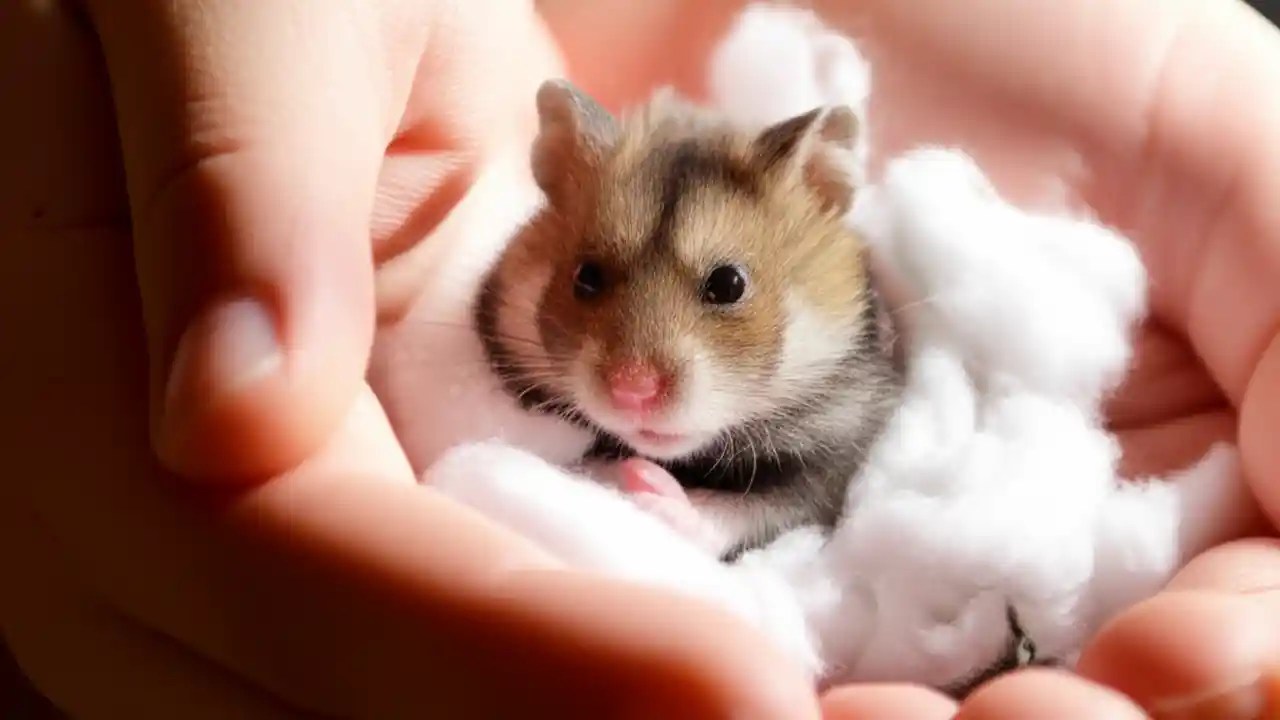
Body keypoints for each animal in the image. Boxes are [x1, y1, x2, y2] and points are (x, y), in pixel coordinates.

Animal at [474, 80, 902, 559]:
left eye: (729, 284)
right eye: (586, 277)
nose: (632, 390)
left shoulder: (831, 473)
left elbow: (736, 511)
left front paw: (642, 482)